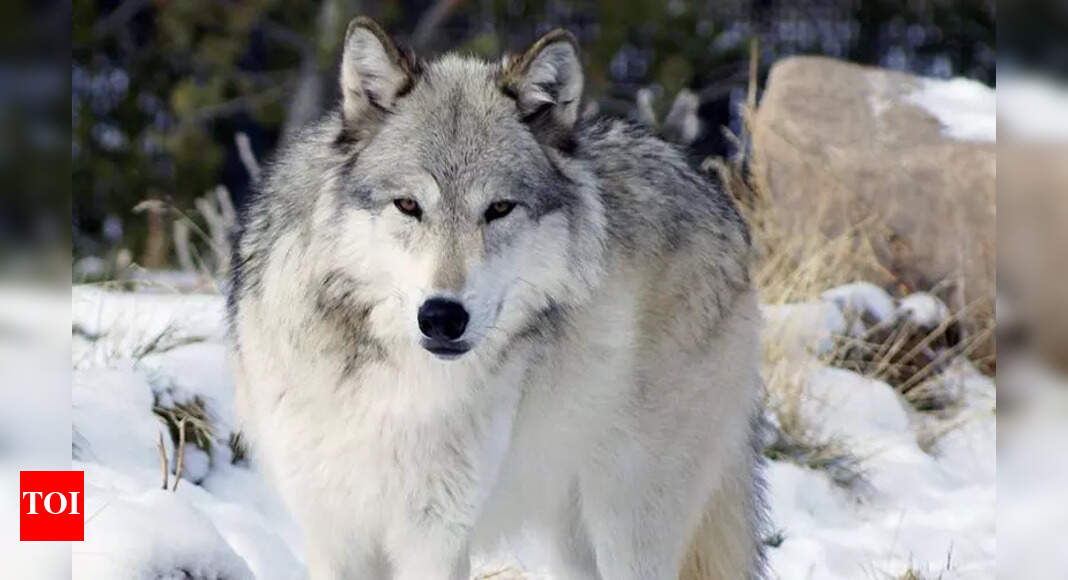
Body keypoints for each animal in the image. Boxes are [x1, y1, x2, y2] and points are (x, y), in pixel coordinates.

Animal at [228, 17, 765, 580]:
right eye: (408, 205)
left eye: (500, 208)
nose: (442, 317)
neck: (386, 383)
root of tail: (713, 194)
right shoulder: (333, 532)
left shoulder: (437, 534)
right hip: (566, 539)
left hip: (628, 524)